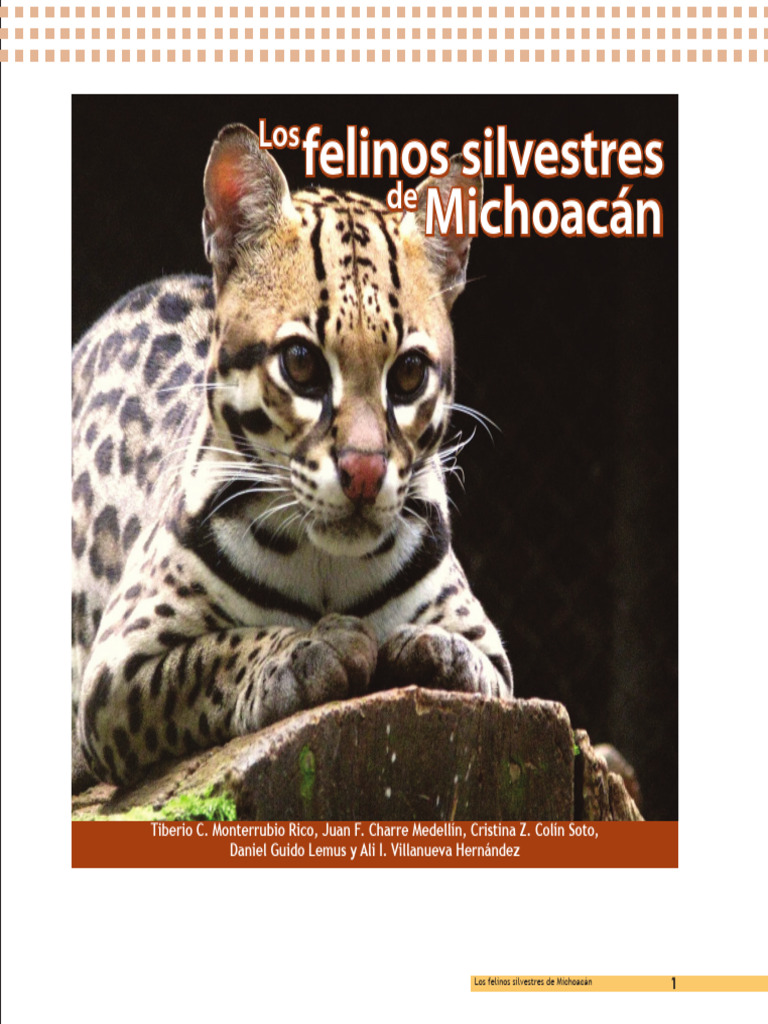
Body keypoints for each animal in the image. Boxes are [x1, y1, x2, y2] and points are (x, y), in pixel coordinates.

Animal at [72, 123, 513, 790]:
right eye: (301, 364)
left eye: (409, 374)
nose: (364, 472)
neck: (326, 565)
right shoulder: (117, 667)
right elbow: (209, 659)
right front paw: (309, 651)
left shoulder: (489, 649)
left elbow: (474, 668)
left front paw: (428, 652)